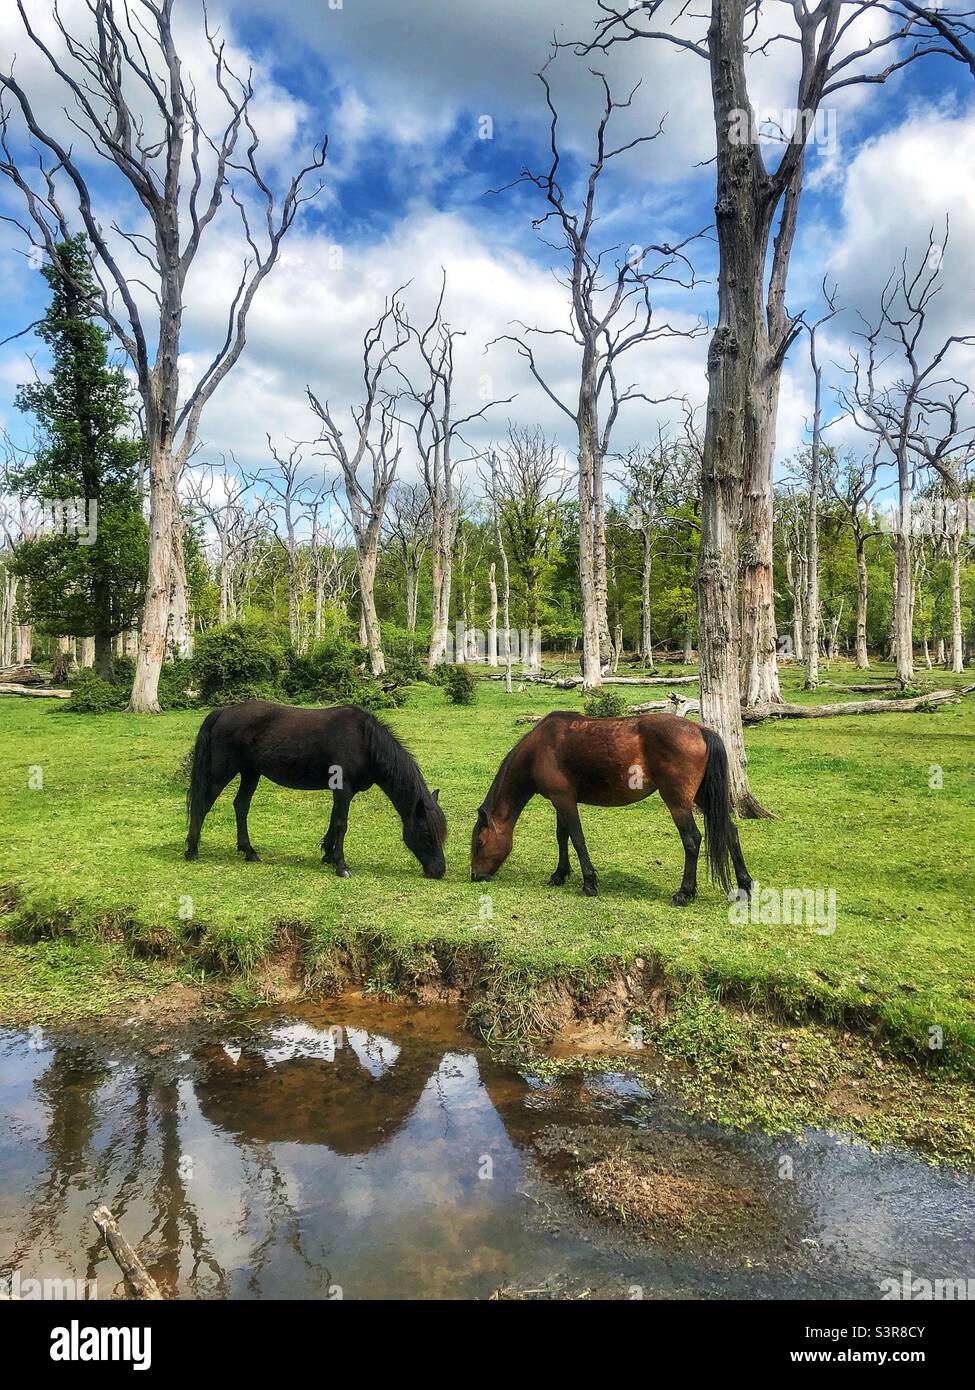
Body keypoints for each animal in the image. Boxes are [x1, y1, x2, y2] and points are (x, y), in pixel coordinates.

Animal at [185, 700, 447, 878]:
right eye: (426, 834)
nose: (439, 871)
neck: (364, 742)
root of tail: (223, 712)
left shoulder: (342, 792)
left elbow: (333, 821)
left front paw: (328, 854)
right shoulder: (343, 790)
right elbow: (341, 824)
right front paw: (341, 866)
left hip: (250, 773)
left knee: (241, 805)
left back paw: (249, 851)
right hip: (222, 772)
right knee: (203, 803)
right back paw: (192, 849)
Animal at [470, 710, 753, 904]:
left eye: (479, 842)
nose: (474, 875)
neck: (540, 749)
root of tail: (699, 730)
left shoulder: (564, 800)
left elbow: (577, 839)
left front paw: (589, 883)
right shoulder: (560, 801)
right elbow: (562, 836)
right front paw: (560, 874)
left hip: (678, 801)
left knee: (692, 840)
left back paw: (685, 892)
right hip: (704, 797)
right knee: (730, 831)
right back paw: (745, 884)